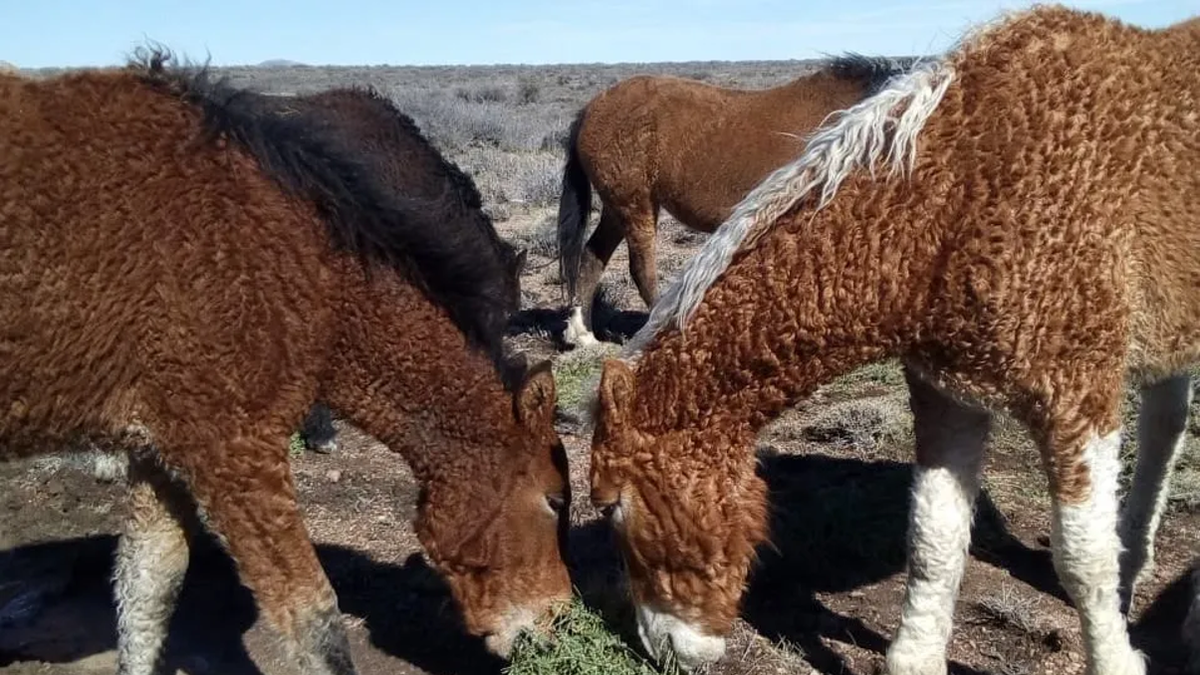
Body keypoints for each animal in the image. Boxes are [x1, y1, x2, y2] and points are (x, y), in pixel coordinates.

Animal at [555, 54, 905, 346]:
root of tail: (590, 110)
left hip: (619, 209)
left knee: (591, 257)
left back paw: (583, 335)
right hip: (635, 206)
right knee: (641, 270)